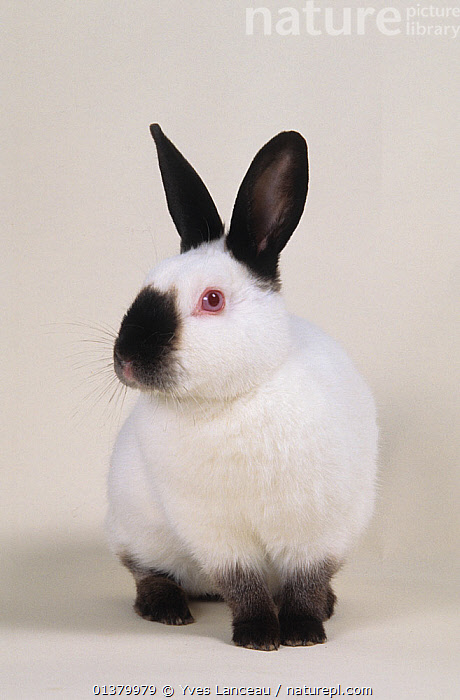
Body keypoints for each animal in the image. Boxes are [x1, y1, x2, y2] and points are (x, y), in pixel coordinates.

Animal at [106, 124, 378, 651]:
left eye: (212, 300)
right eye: (146, 284)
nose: (126, 359)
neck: (237, 397)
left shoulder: (318, 528)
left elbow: (307, 581)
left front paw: (303, 632)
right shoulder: (218, 534)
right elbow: (242, 584)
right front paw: (258, 636)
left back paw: (327, 607)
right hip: (138, 531)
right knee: (147, 572)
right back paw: (166, 609)